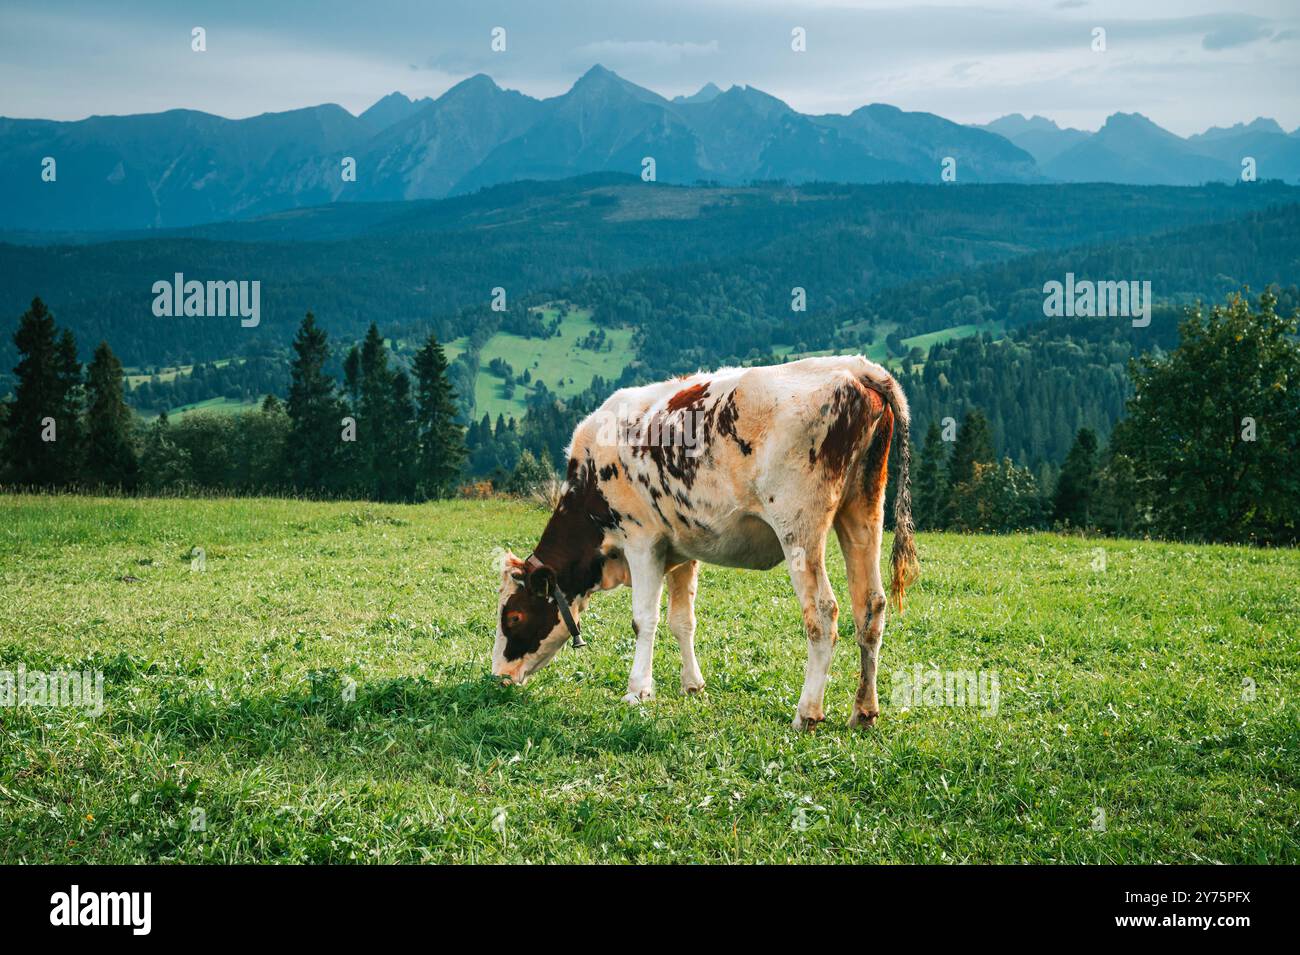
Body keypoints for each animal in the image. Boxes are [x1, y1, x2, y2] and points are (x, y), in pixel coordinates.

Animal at [492, 355, 918, 730]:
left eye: (513, 617)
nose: (498, 676)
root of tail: (856, 368)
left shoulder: (641, 540)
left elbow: (643, 619)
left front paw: (637, 691)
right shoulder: (682, 550)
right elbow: (683, 621)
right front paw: (692, 686)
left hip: (799, 525)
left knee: (823, 613)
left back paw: (807, 713)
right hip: (863, 510)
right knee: (870, 607)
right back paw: (864, 712)